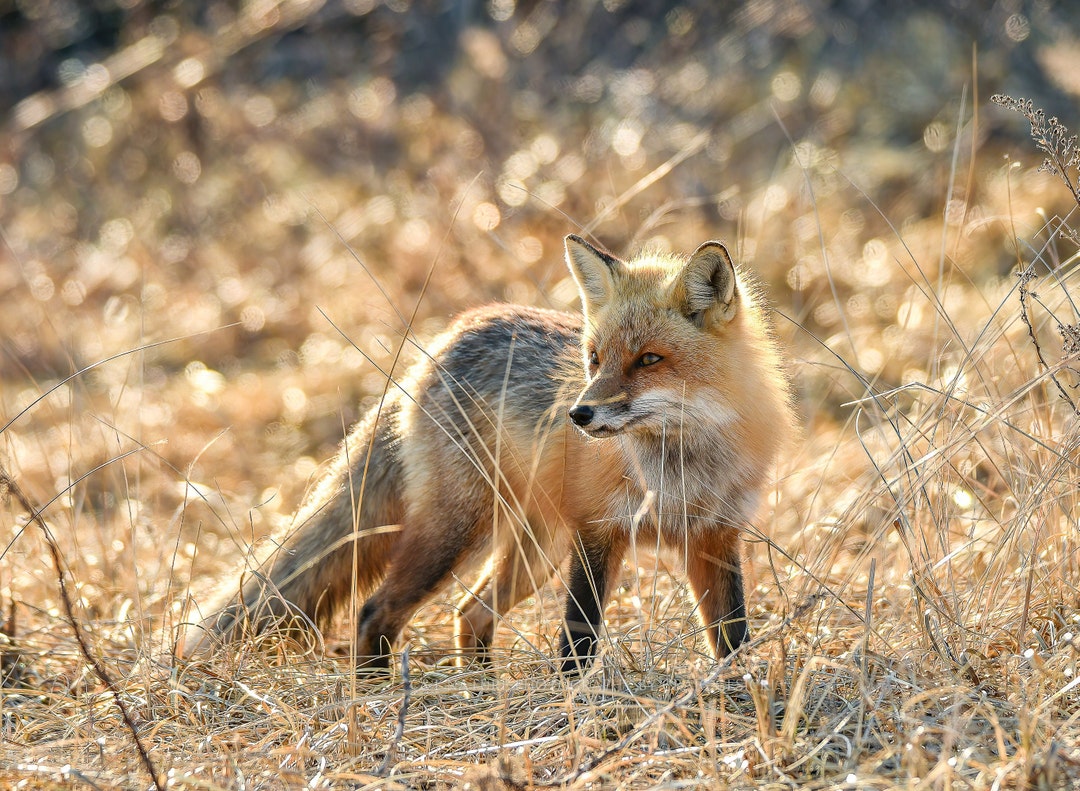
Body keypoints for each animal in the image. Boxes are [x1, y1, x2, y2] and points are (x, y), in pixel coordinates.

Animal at [181, 234, 793, 672]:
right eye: (595, 358)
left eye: (648, 360)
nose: (579, 415)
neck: (679, 466)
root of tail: (439, 344)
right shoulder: (598, 534)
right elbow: (578, 643)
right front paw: (574, 711)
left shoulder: (714, 536)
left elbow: (733, 638)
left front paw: (740, 700)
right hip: (460, 531)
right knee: (376, 610)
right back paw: (378, 692)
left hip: (534, 549)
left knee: (468, 613)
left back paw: (478, 689)